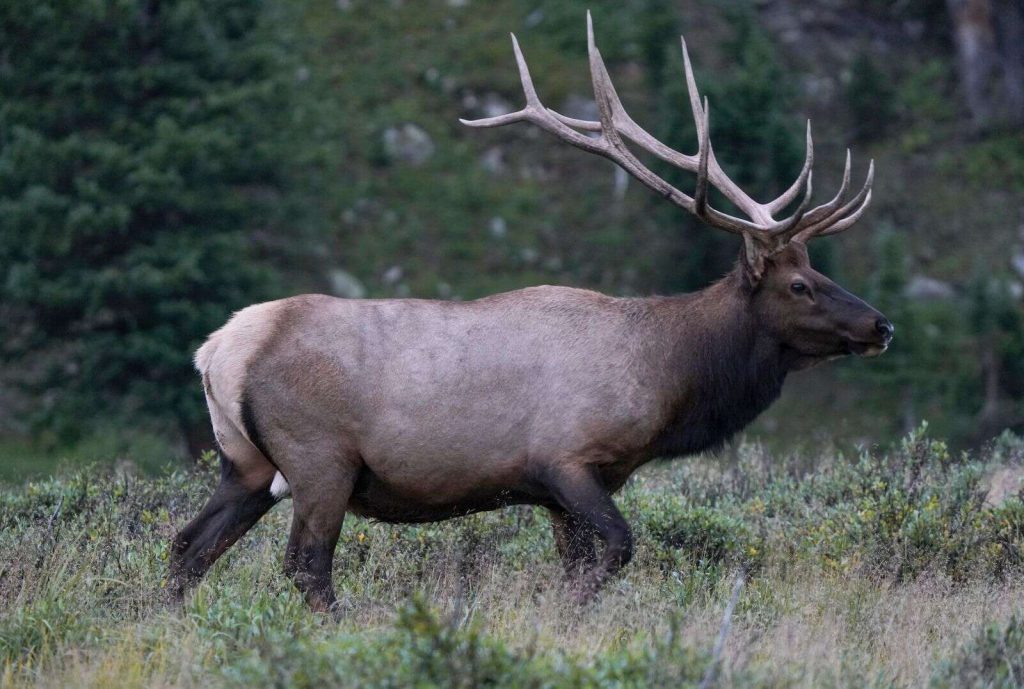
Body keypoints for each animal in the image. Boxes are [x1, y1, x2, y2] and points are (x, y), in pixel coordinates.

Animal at [169, 14, 893, 613]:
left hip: (246, 464)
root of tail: (220, 350)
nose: (881, 325)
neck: (665, 375)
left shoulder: (567, 489)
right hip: (320, 458)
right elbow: (616, 551)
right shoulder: (564, 458)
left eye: (822, 271)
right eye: (799, 284)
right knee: (305, 566)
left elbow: (581, 563)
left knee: (187, 548)